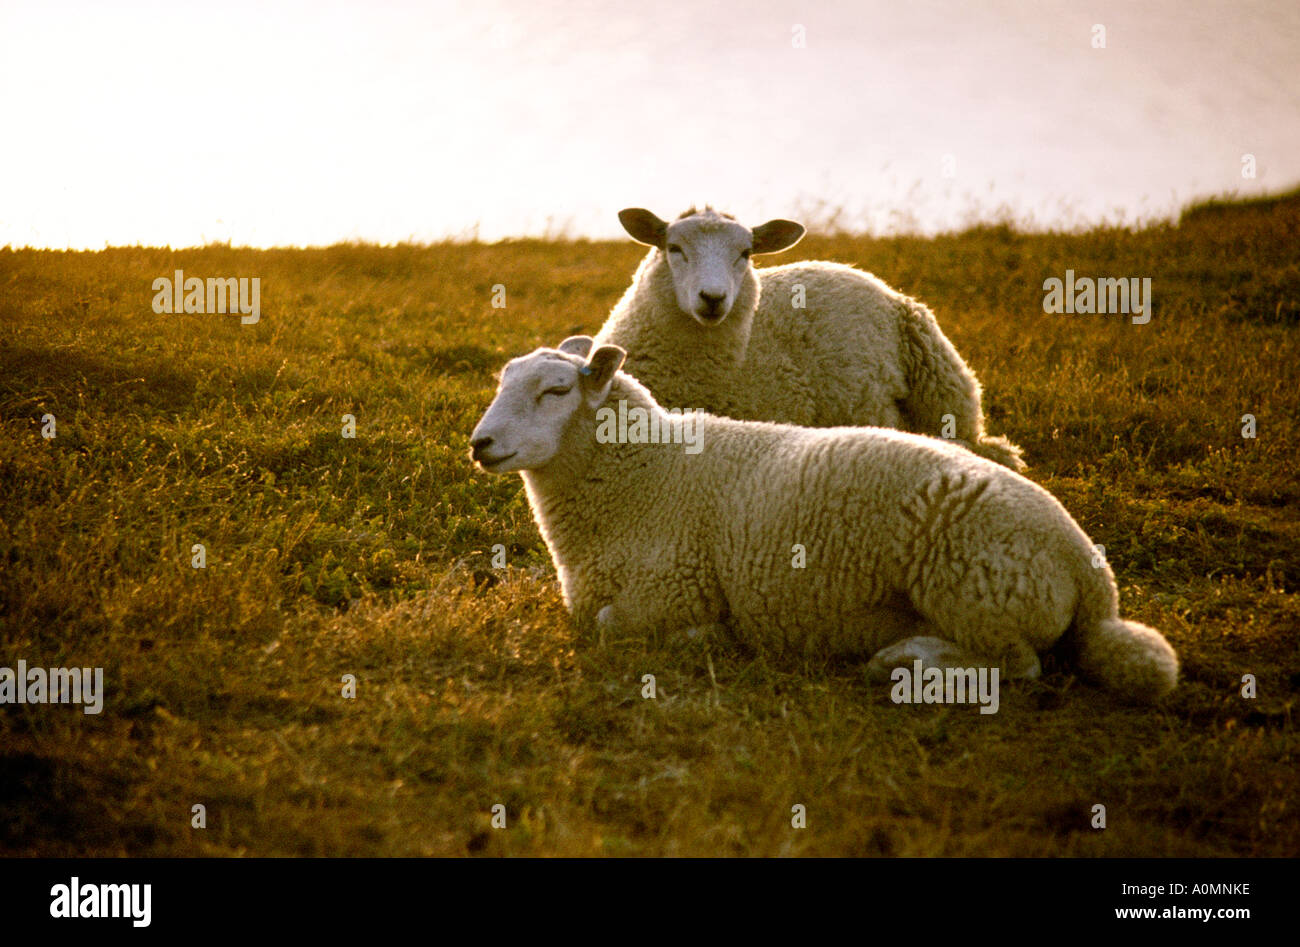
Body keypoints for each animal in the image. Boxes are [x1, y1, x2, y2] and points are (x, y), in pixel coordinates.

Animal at [468, 339, 1179, 703]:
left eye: (556, 391)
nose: (481, 444)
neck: (645, 473)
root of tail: (1091, 573)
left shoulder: (670, 588)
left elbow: (614, 625)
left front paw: (712, 639)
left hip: (972, 584)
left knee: (1020, 664)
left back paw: (906, 661)